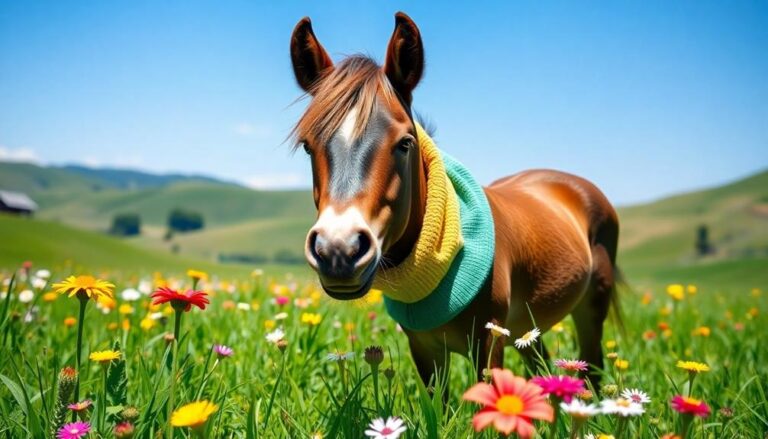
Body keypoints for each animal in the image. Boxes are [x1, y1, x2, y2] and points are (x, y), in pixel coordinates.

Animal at [289, 12, 621, 388]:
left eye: (405, 143)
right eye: (308, 146)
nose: (338, 251)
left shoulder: (490, 340)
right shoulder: (424, 349)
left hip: (590, 308)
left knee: (592, 367)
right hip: (526, 329)